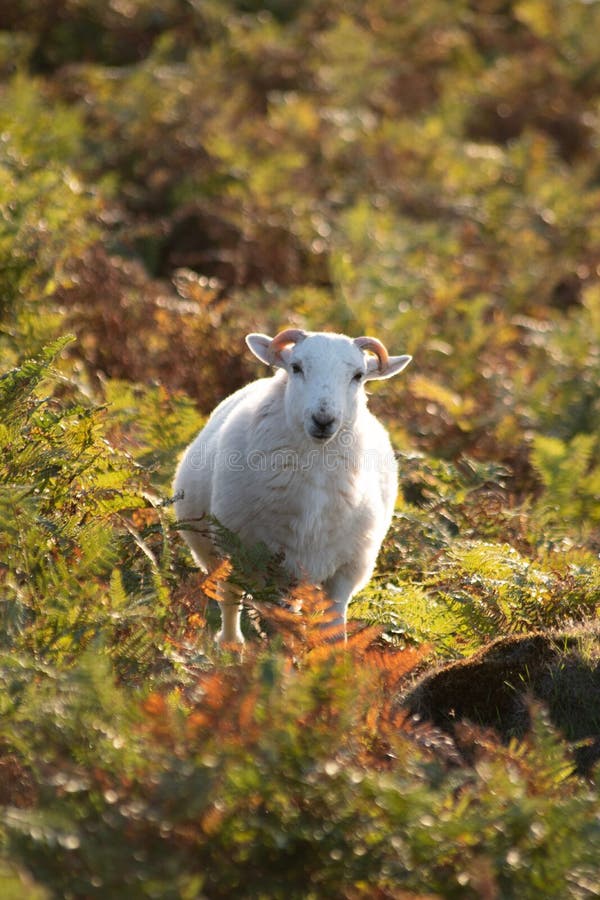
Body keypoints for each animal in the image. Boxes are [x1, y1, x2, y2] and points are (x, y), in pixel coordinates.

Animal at [173, 328, 411, 645]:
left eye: (358, 375)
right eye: (297, 367)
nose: (323, 420)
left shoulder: (345, 571)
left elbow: (334, 630)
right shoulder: (264, 563)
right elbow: (276, 625)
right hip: (227, 556)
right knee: (230, 601)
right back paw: (231, 645)